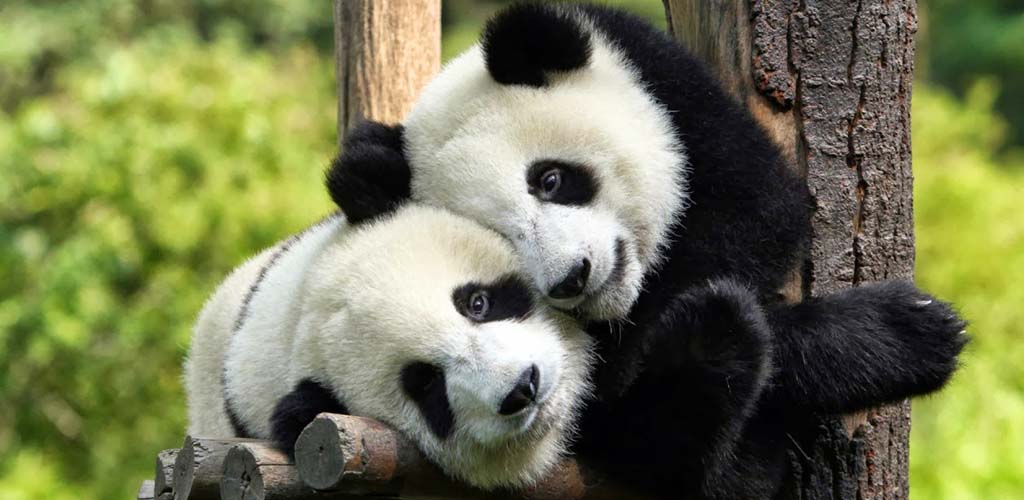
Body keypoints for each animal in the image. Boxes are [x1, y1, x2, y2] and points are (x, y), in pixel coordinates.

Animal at [326, 3, 969, 498]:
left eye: (550, 180)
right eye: (502, 239)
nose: (573, 278)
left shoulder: (671, 92)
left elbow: (758, 212)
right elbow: (622, 402)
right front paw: (900, 334)